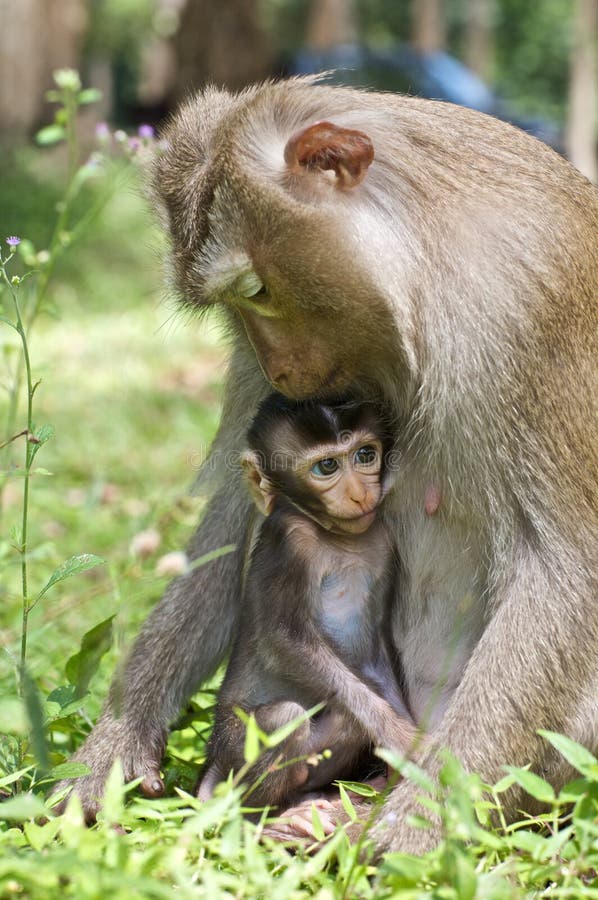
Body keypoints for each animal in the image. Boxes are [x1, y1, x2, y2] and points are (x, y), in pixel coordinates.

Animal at [197, 394, 418, 809]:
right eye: (327, 466)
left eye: (365, 455)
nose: (359, 494)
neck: (337, 537)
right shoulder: (290, 540)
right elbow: (283, 640)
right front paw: (404, 740)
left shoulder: (384, 542)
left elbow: (375, 655)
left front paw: (399, 763)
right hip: (233, 745)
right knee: (283, 717)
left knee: (348, 719)